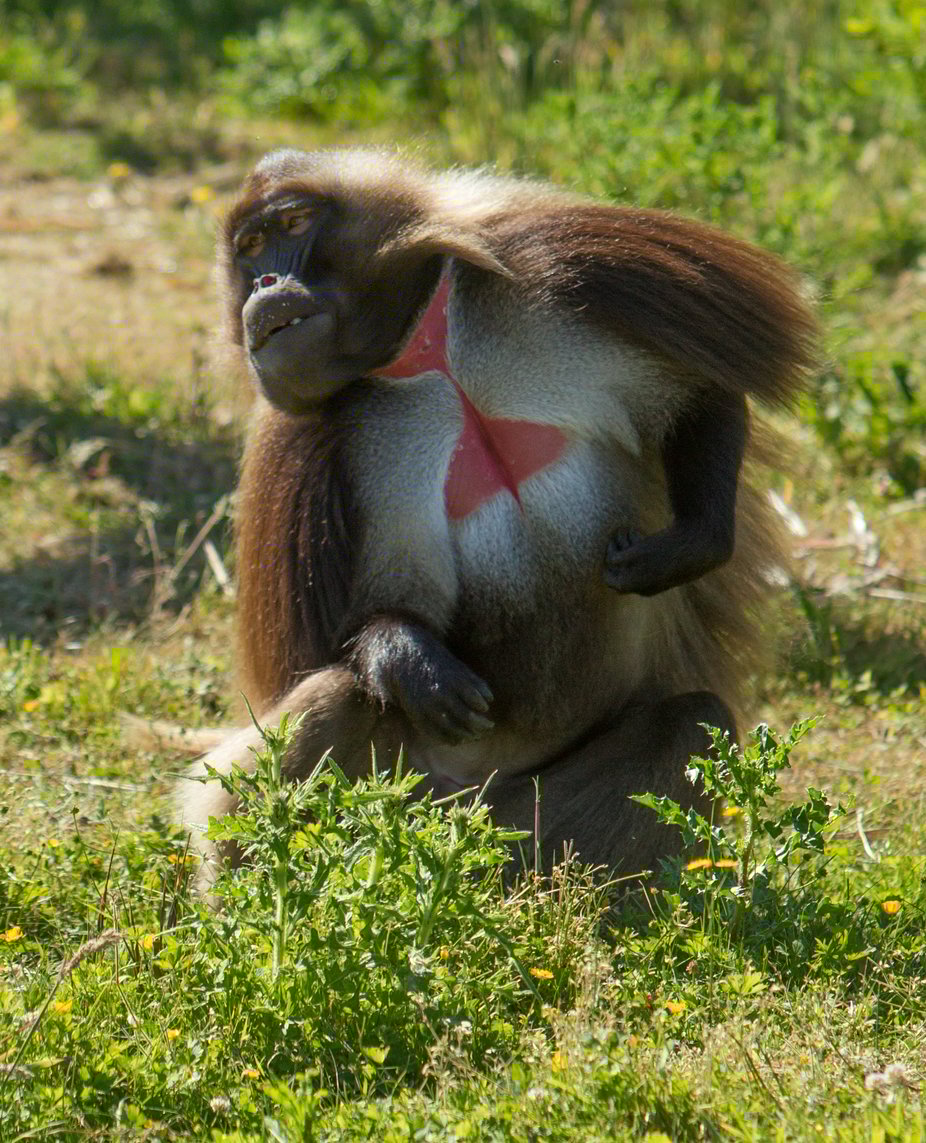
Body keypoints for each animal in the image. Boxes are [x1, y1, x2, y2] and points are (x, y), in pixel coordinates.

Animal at [176, 146, 817, 892]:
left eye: (292, 225)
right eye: (249, 248)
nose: (267, 281)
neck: (423, 351)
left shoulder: (560, 267)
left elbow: (705, 394)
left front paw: (684, 547)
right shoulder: (300, 443)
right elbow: (314, 659)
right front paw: (406, 659)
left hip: (514, 826)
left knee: (689, 725)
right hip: (407, 804)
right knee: (341, 695)